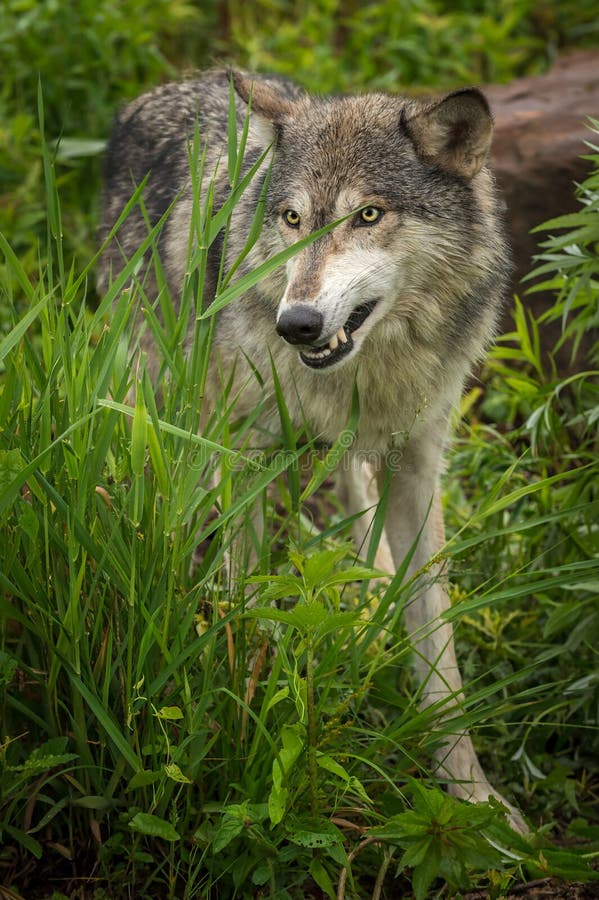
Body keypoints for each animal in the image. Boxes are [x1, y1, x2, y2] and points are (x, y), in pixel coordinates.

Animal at [99, 70, 525, 831]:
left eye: (368, 216)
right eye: (293, 219)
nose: (294, 324)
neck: (365, 373)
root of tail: (167, 86)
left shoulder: (419, 465)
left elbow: (440, 660)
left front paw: (474, 805)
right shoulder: (243, 455)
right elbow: (248, 601)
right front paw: (239, 720)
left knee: (355, 489)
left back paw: (370, 590)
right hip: (158, 386)